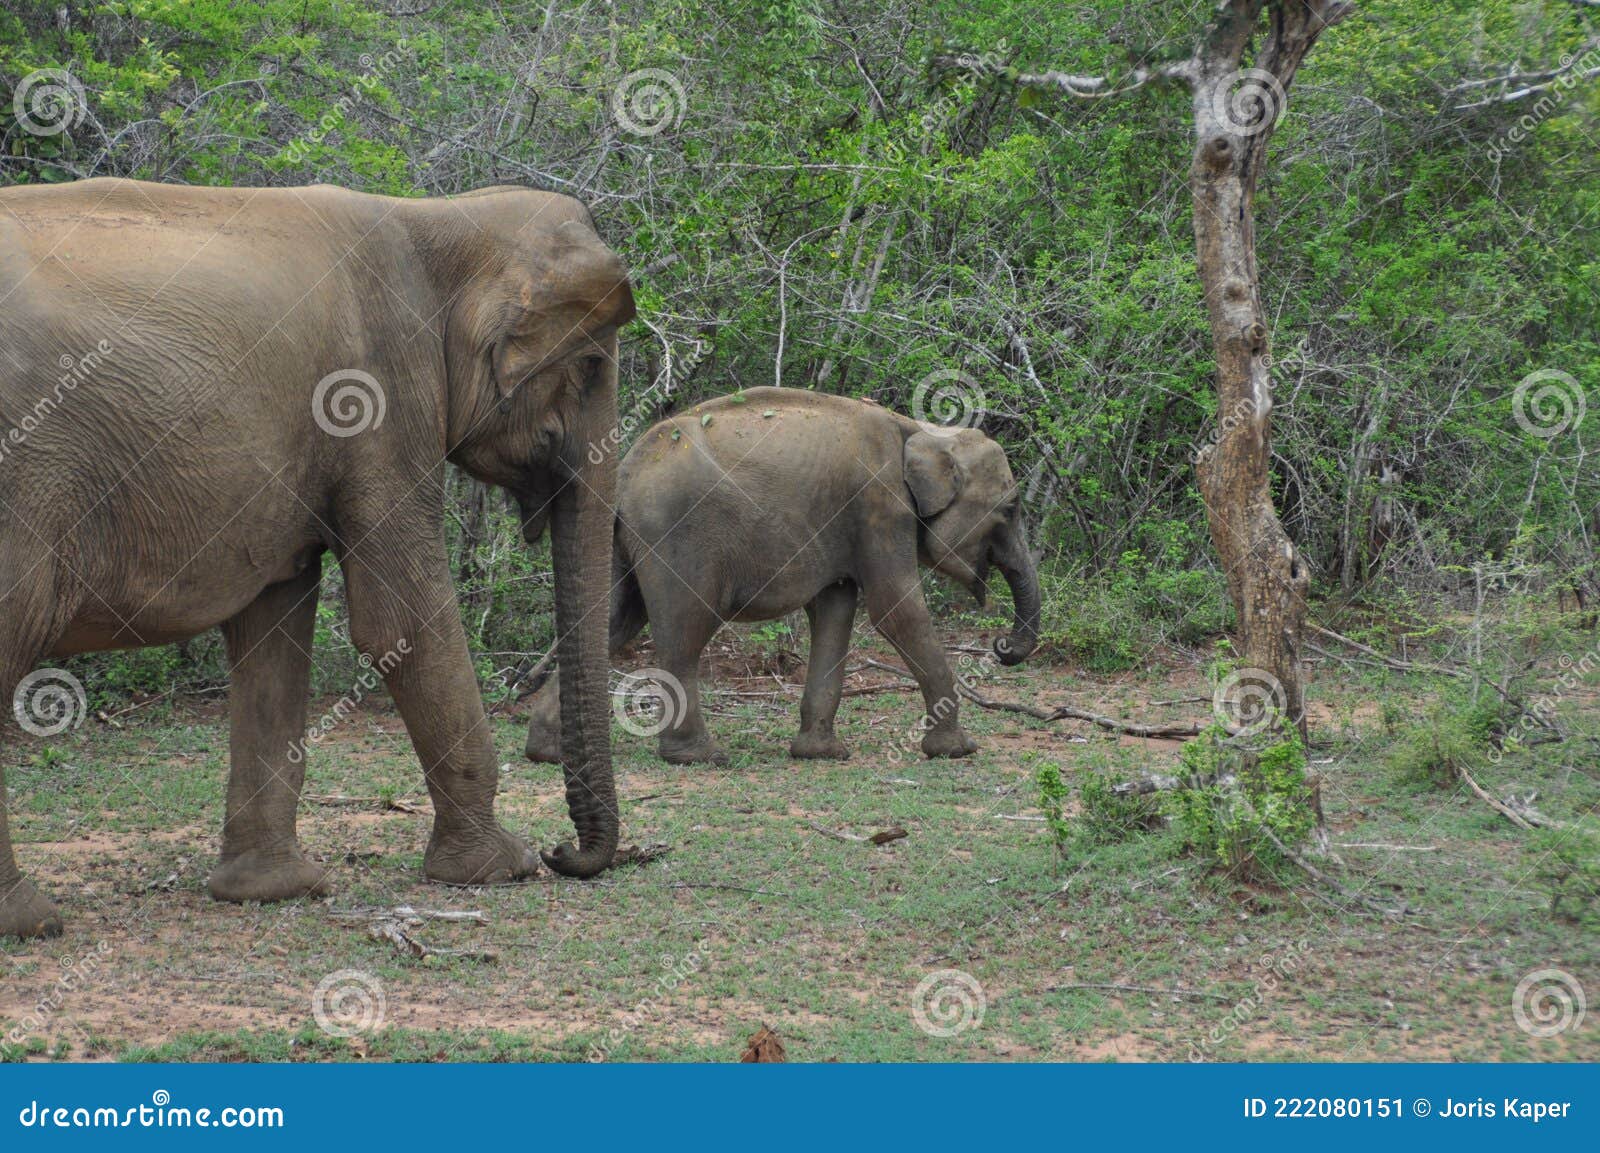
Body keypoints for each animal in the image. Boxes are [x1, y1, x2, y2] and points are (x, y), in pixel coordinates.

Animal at [0, 178, 634, 939]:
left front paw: (274, 889)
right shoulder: (378, 400)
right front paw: (500, 868)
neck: (444, 219)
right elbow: (401, 622)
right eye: (592, 365)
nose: (564, 851)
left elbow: (273, 628)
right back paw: (30, 919)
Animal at [523, 386, 1041, 766]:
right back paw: (699, 757)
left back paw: (548, 754)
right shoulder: (880, 508)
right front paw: (958, 750)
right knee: (683, 634)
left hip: (620, 539)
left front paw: (821, 754)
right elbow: (897, 612)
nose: (1003, 647)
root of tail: (626, 471)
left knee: (612, 622)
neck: (923, 431)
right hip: (675, 538)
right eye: (1011, 509)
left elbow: (835, 611)